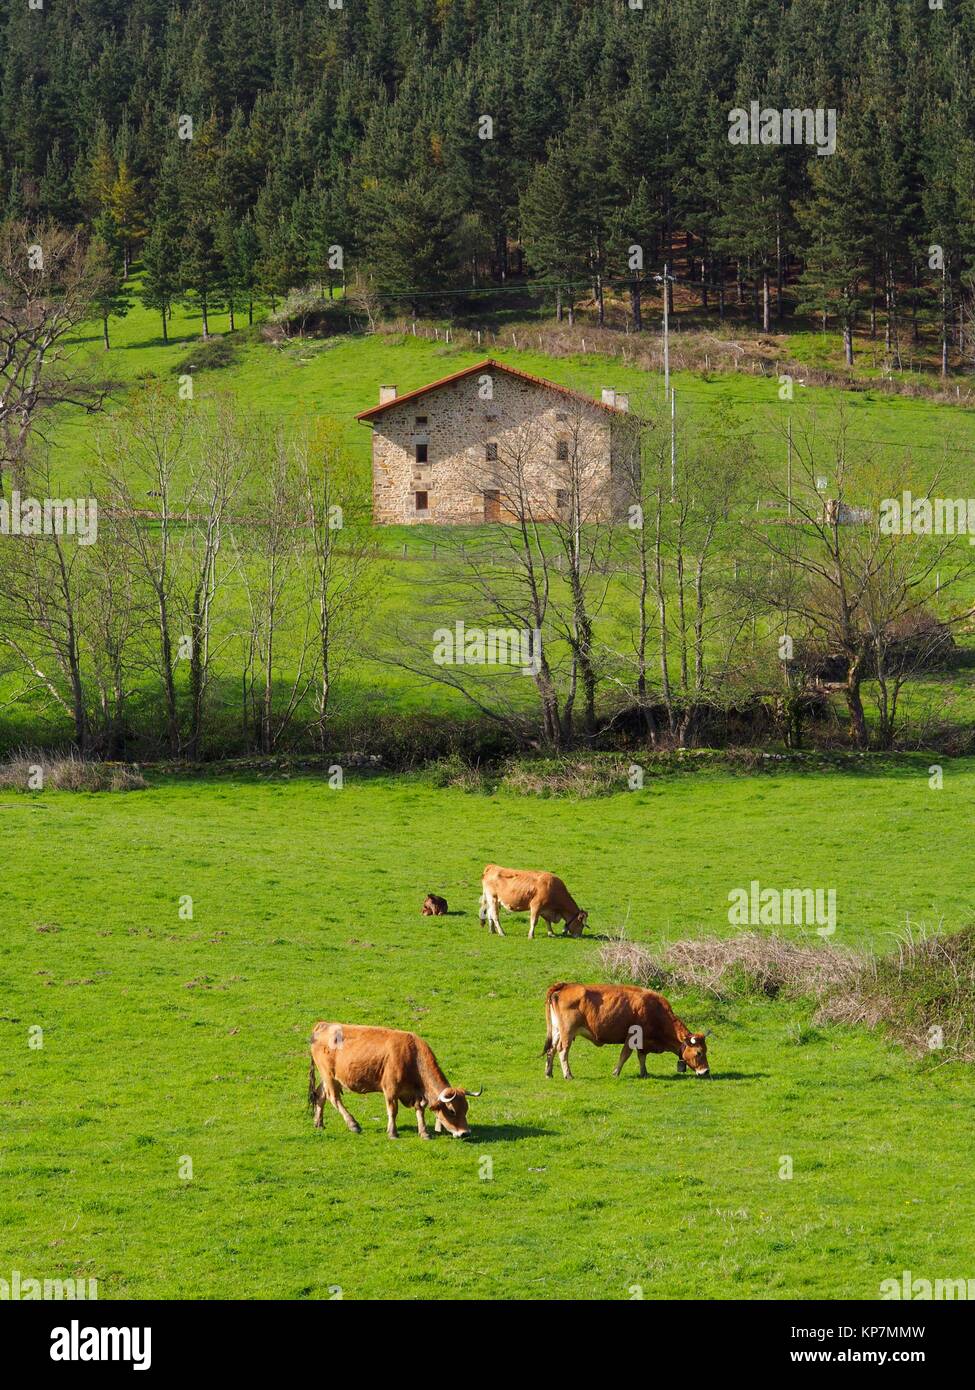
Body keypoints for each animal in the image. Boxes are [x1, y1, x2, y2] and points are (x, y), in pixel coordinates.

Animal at [308, 1021, 482, 1140]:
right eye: (452, 1111)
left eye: (466, 1109)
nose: (465, 1133)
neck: (412, 1054)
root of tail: (323, 1025)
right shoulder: (390, 1089)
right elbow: (393, 1110)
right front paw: (392, 1132)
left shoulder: (416, 1093)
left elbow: (420, 1109)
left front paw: (424, 1132)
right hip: (329, 1075)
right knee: (334, 1098)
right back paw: (353, 1124)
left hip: (328, 1077)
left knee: (320, 1095)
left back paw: (319, 1123)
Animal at [543, 982, 712, 1080]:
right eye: (698, 1053)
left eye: (705, 1050)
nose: (706, 1071)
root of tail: (566, 985)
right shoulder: (633, 1036)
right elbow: (625, 1054)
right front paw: (616, 1072)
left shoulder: (644, 1041)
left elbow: (641, 1056)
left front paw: (644, 1073)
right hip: (568, 1032)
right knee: (562, 1050)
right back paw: (568, 1074)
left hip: (557, 1031)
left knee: (551, 1049)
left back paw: (549, 1073)